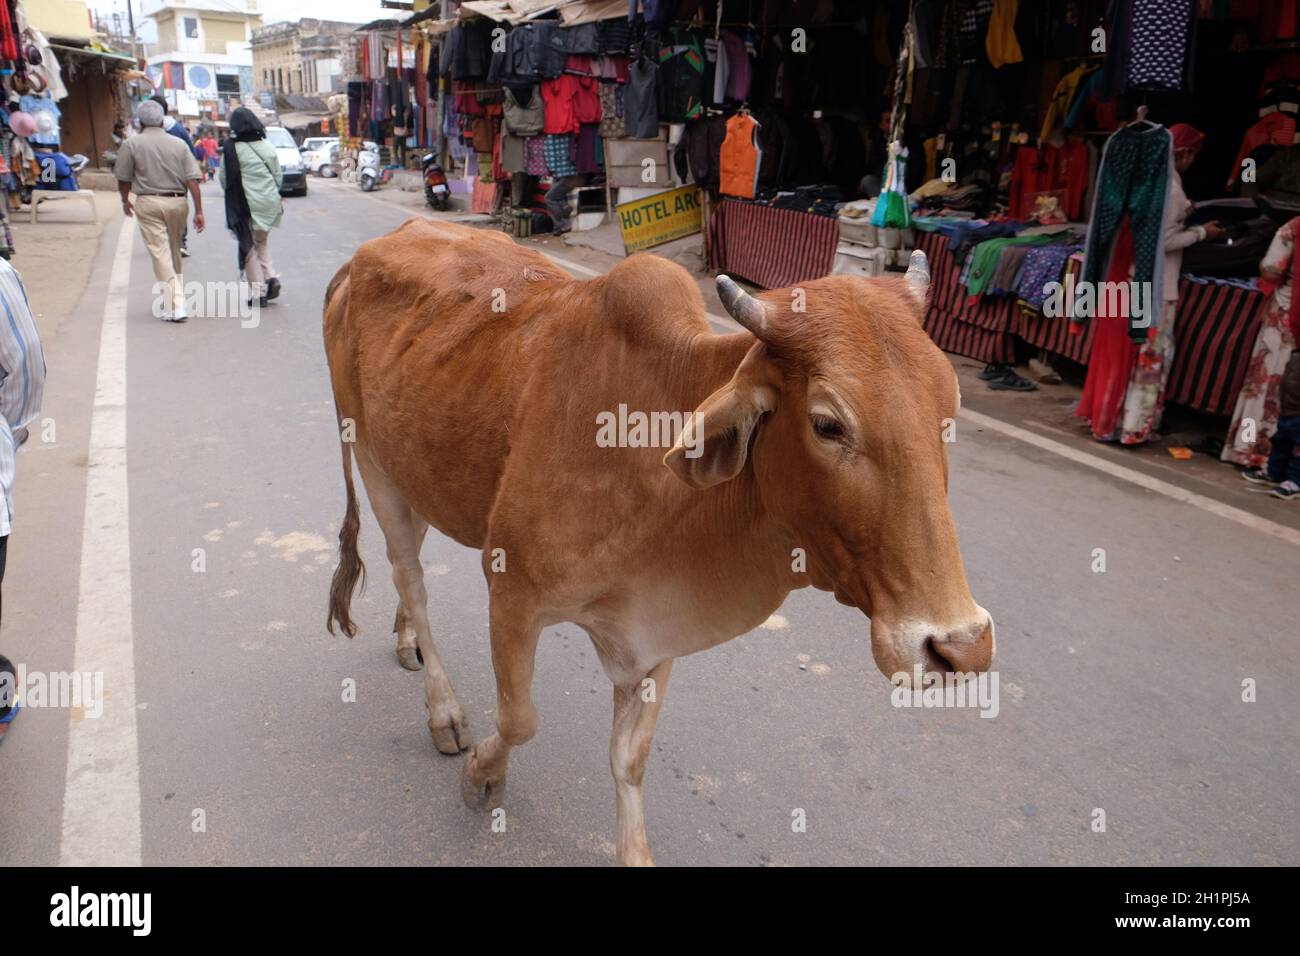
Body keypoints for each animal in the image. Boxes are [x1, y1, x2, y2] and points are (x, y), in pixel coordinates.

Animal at [322, 218, 994, 866]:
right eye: (828, 424)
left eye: (951, 408)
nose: (962, 649)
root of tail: (359, 259)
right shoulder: (512, 593)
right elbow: (519, 718)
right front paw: (480, 775)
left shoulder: (656, 629)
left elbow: (629, 758)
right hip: (374, 462)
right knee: (409, 576)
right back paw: (444, 710)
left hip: (414, 470)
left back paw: (406, 640)